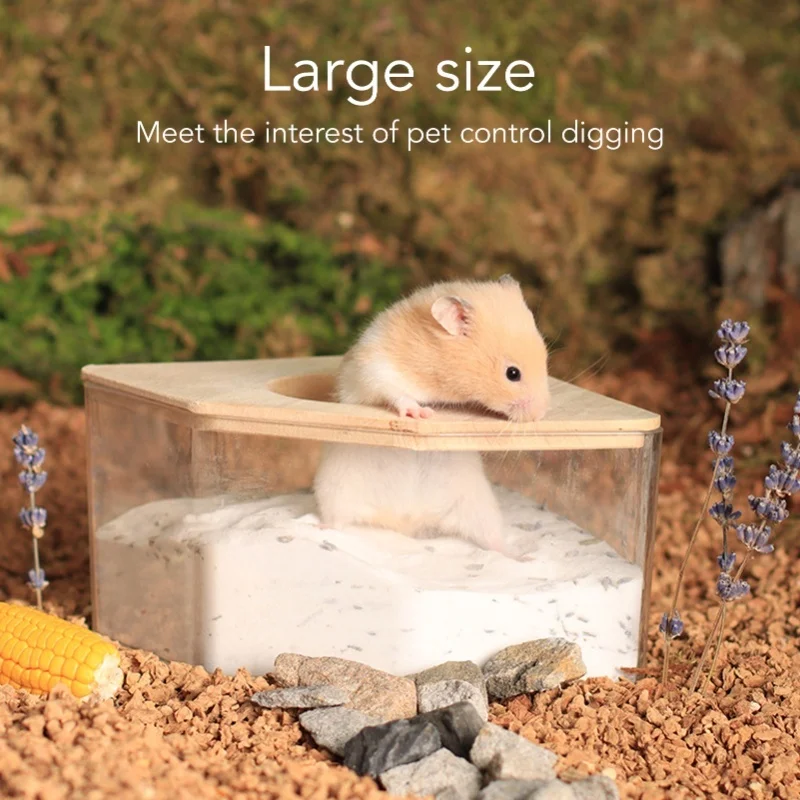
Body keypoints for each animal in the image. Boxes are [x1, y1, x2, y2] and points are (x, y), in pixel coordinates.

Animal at [313, 276, 550, 554]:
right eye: (512, 373)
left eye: (545, 358)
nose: (540, 414)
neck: (442, 378)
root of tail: (407, 523)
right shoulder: (374, 366)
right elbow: (394, 392)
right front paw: (420, 413)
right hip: (335, 489)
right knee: (336, 521)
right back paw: (317, 529)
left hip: (478, 506)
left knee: (493, 540)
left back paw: (520, 556)